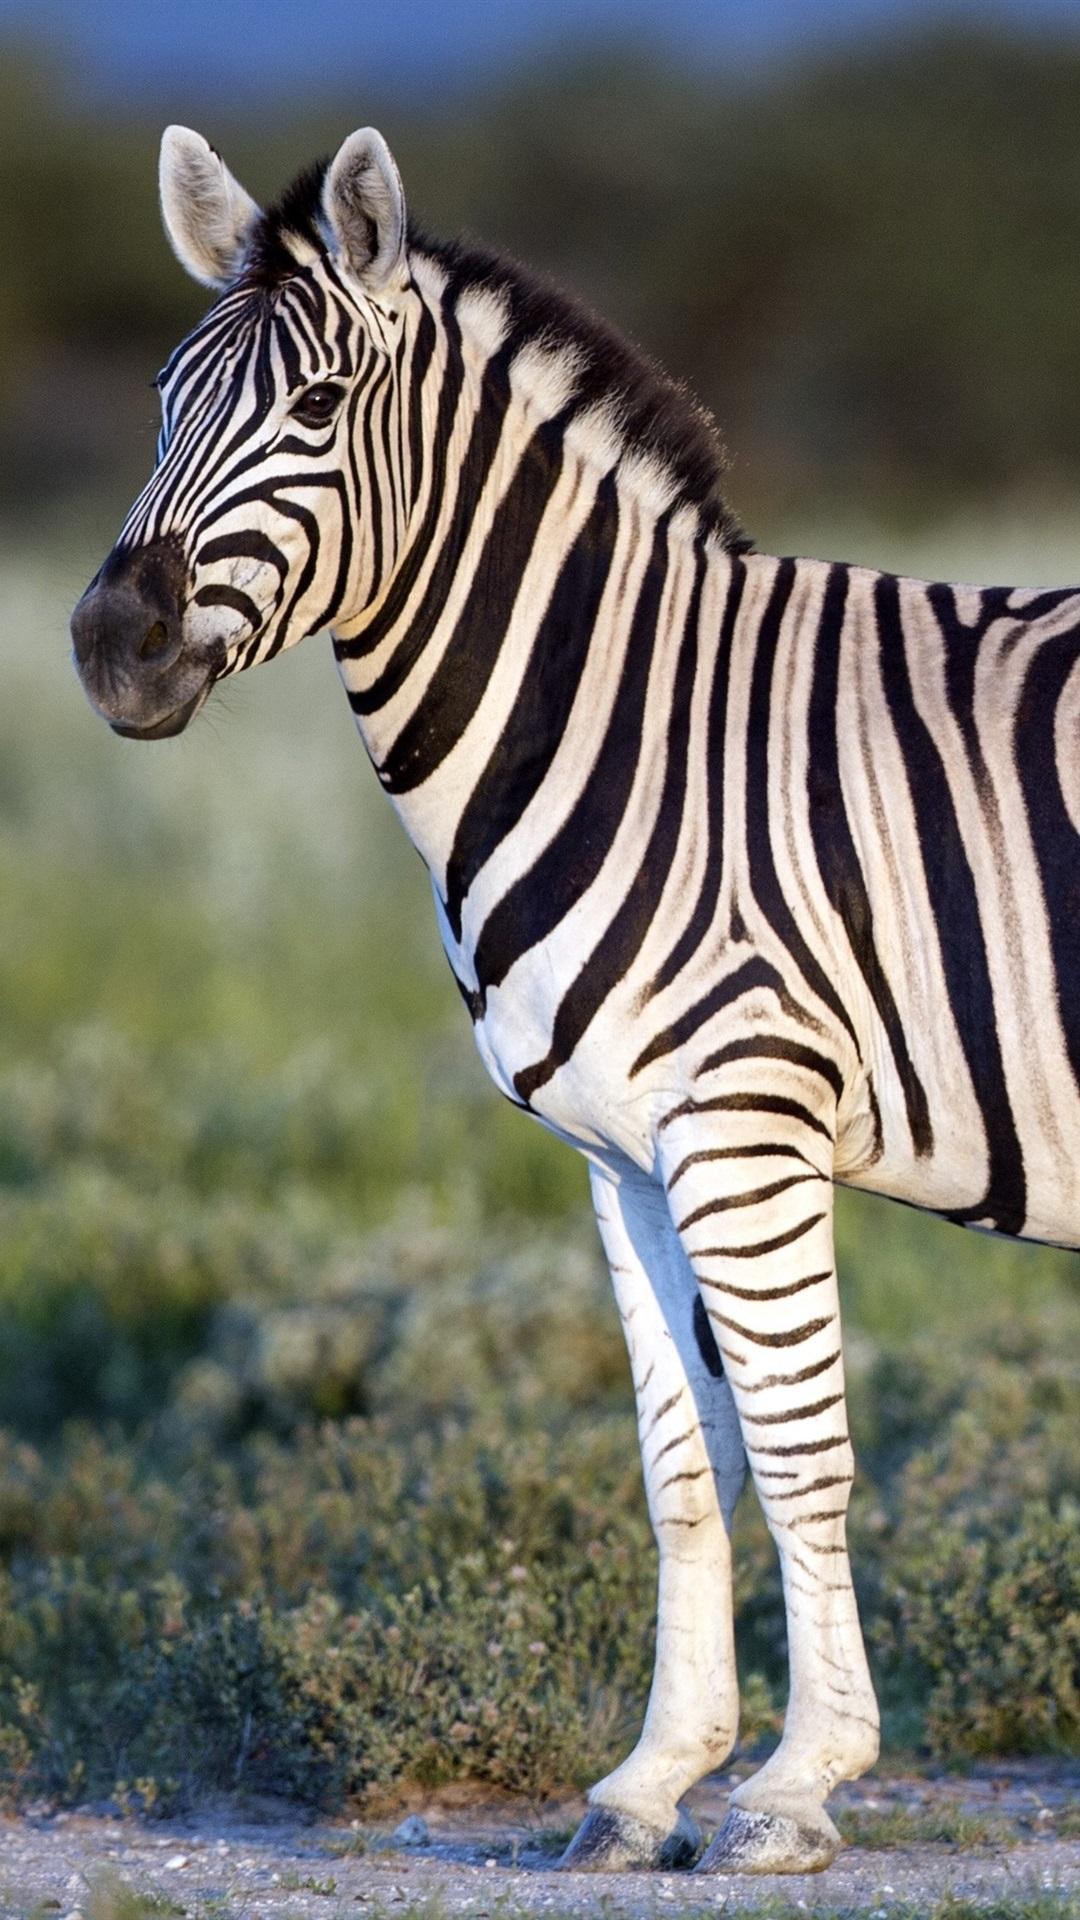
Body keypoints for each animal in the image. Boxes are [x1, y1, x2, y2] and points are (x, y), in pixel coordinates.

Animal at [70, 125, 1080, 1877]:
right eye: (158, 398)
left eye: (317, 408)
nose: (107, 644)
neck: (629, 717)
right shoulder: (626, 1154)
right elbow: (683, 1463)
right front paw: (651, 1781)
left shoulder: (747, 1120)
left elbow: (799, 1452)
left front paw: (799, 1789)